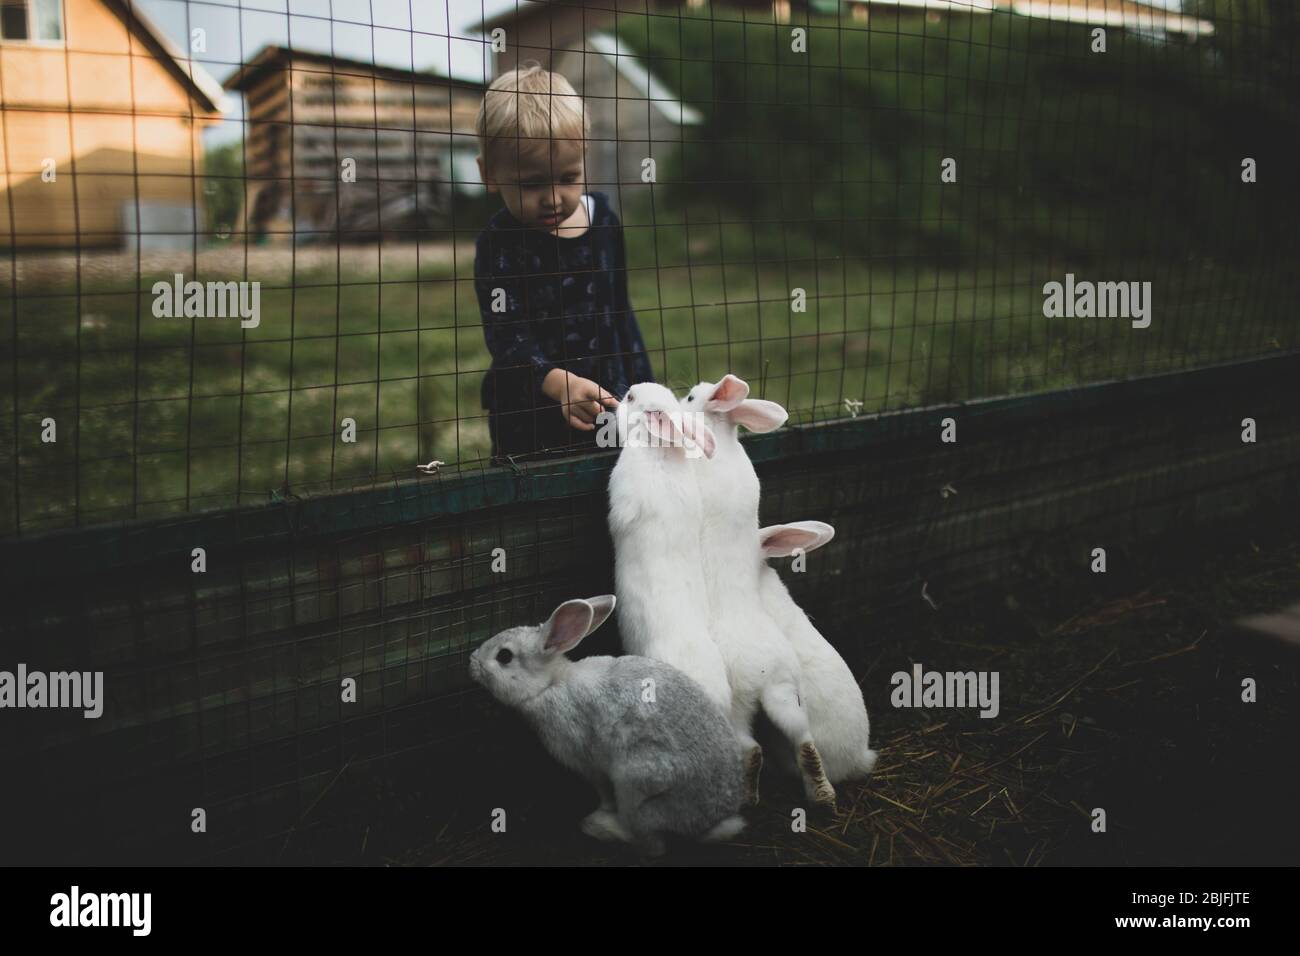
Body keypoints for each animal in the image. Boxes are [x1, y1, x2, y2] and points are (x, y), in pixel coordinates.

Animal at [468, 594, 746, 856]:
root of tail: (710, 821)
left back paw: (601, 827)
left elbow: (602, 790)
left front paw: (603, 809)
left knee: (651, 845)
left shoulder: (587, 762)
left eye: (504, 656)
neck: (550, 684)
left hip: (636, 782)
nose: (472, 661)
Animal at [678, 374, 837, 810]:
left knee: (751, 749)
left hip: (737, 707)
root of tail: (763, 675)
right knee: (803, 740)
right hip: (787, 695)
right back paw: (823, 795)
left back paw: (747, 797)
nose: (678, 399)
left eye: (690, 397)